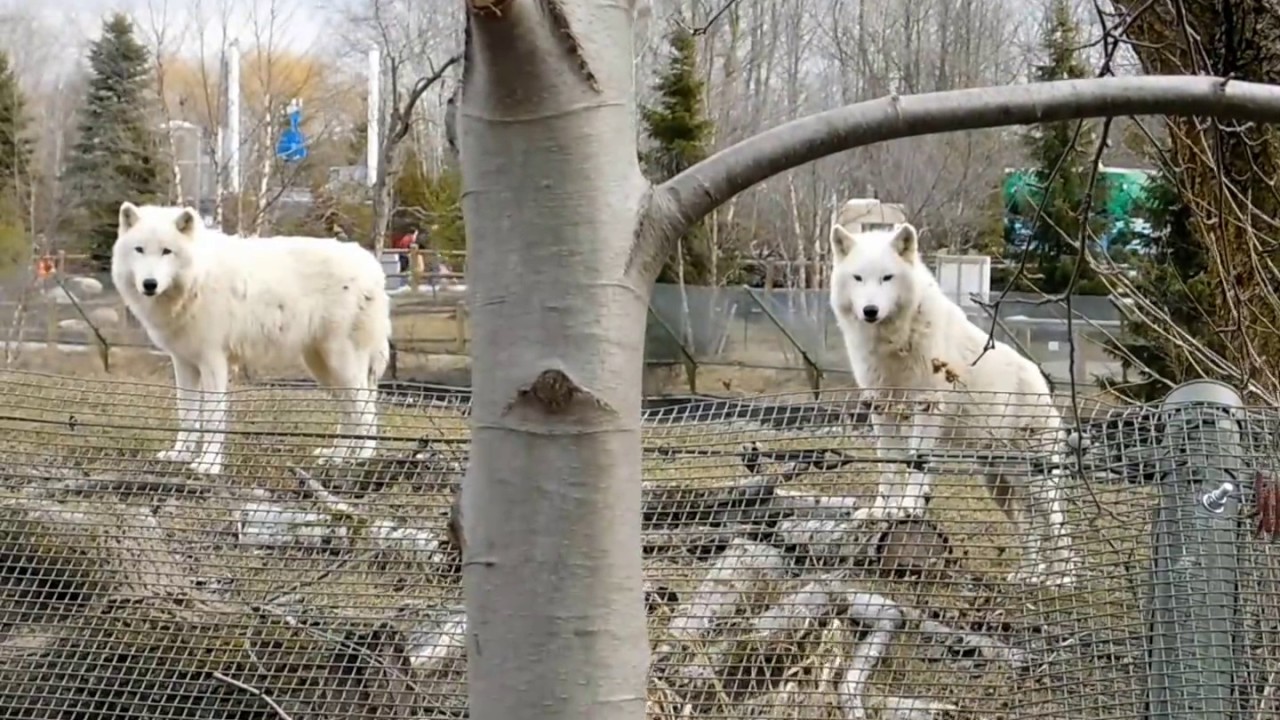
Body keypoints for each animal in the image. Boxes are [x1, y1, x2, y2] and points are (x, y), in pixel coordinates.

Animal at [111, 202, 392, 475]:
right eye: (139, 250)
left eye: (166, 251)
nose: (149, 284)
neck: (196, 280)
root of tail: (374, 266)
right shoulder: (183, 362)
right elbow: (187, 413)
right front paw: (180, 455)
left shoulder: (213, 361)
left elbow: (213, 416)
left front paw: (209, 464)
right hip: (323, 368)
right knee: (351, 413)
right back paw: (337, 456)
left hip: (342, 363)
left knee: (367, 411)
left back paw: (361, 458)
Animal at [828, 219, 1076, 586]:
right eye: (858, 278)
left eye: (887, 277)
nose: (870, 311)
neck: (894, 342)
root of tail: (1043, 384)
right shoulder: (882, 407)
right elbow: (889, 466)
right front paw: (883, 509)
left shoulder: (928, 407)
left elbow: (916, 464)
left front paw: (908, 507)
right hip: (1000, 487)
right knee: (1029, 527)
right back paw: (1029, 576)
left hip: (1037, 483)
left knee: (1057, 526)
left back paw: (1064, 580)